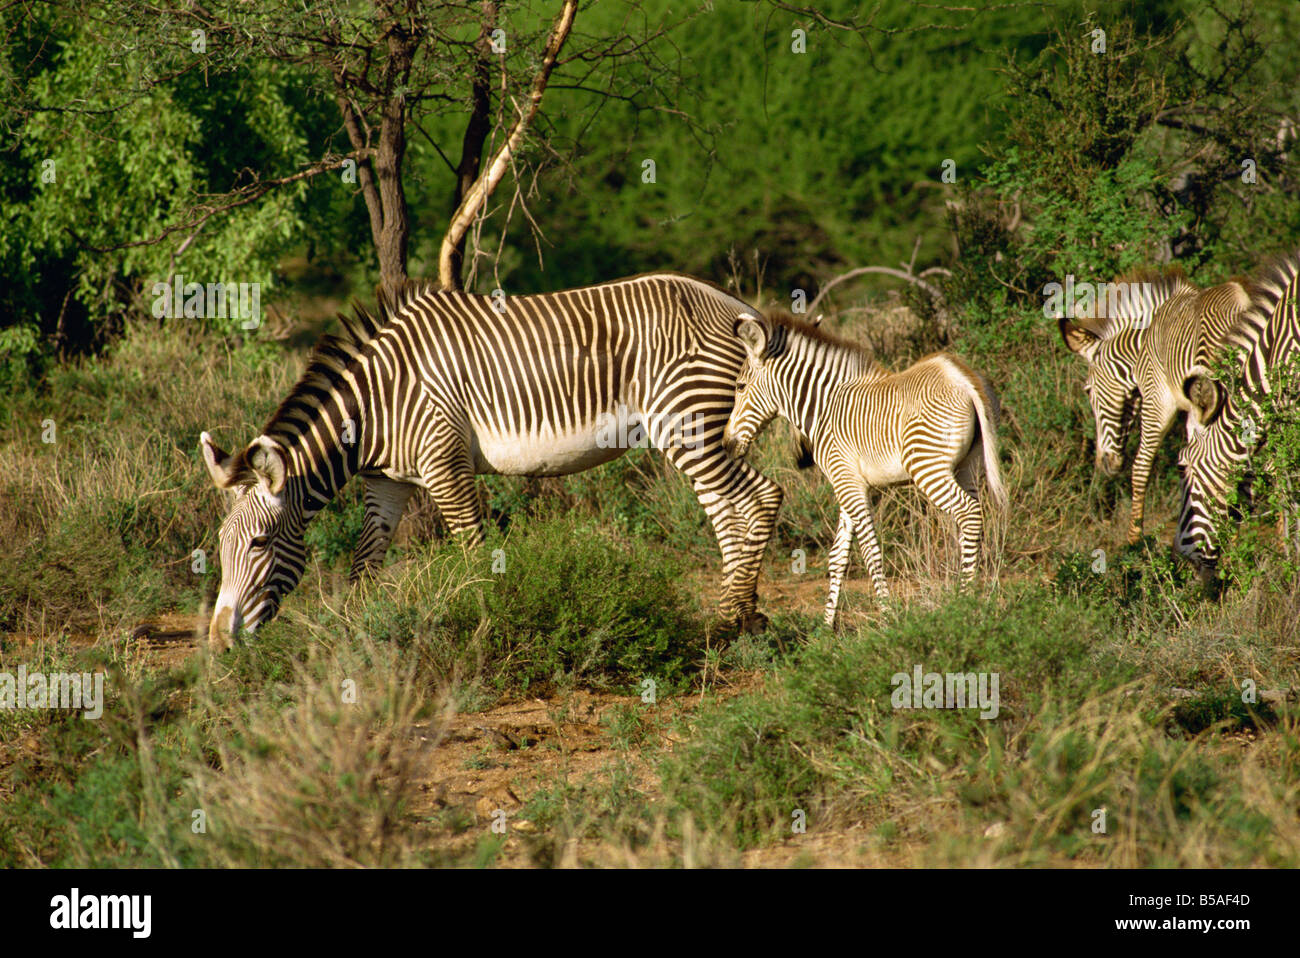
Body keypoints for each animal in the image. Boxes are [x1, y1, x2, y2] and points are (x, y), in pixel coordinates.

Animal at [200, 273, 784, 648]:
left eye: (258, 543)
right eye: (220, 544)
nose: (218, 644)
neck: (376, 404)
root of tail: (740, 306)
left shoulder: (445, 464)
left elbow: (475, 552)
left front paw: (488, 625)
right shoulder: (386, 482)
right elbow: (365, 561)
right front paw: (357, 636)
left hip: (686, 421)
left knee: (759, 497)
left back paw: (732, 622)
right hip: (695, 428)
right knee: (730, 509)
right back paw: (742, 616)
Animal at [721, 310, 1006, 626]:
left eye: (739, 387)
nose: (726, 444)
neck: (824, 408)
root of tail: (961, 377)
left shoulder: (847, 482)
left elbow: (871, 552)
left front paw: (888, 617)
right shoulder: (847, 482)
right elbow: (837, 556)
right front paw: (827, 627)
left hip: (927, 467)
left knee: (967, 513)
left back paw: (965, 601)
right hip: (968, 466)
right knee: (971, 520)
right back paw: (969, 594)